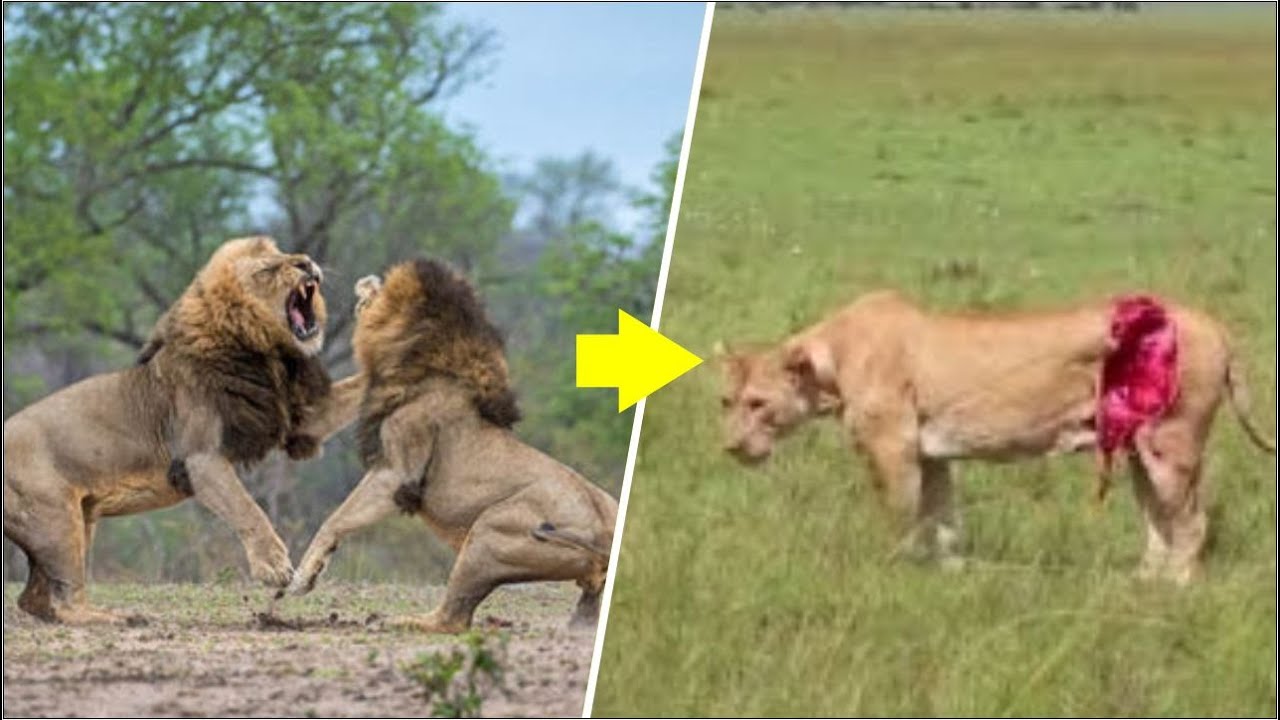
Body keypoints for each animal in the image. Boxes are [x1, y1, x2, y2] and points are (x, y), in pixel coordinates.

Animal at [3, 237, 363, 623]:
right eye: (268, 268)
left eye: (286, 254)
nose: (307, 263)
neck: (268, 355)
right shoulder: (200, 459)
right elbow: (247, 508)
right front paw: (274, 567)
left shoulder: (297, 419)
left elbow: (357, 388)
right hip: (57, 521)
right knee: (63, 601)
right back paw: (116, 617)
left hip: (79, 520)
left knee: (34, 600)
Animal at [286, 259, 618, 633]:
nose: (360, 295)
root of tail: (606, 536)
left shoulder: (396, 473)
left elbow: (337, 518)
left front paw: (303, 578)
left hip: (490, 532)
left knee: (452, 619)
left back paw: (391, 621)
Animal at [718, 290, 1275, 584]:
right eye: (726, 402)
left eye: (757, 404)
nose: (730, 447)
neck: (830, 361)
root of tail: (1216, 325)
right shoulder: (930, 452)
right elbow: (941, 518)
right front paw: (950, 573)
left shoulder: (892, 449)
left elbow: (901, 518)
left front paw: (892, 576)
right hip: (1141, 448)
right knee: (1159, 519)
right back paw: (1141, 584)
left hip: (1171, 441)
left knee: (1192, 522)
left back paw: (1173, 591)